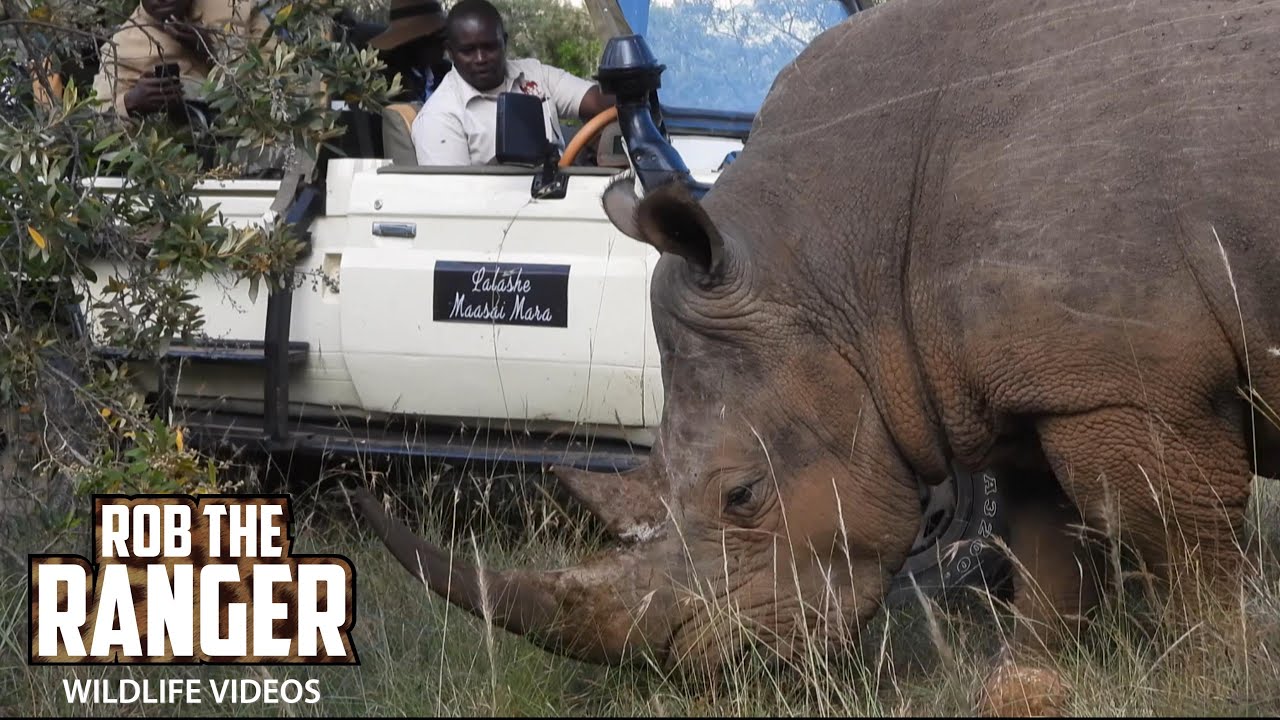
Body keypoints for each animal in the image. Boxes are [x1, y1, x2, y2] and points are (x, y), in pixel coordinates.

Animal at [356, 0, 1280, 684]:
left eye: (742, 496)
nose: (700, 669)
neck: (841, 258)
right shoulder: (1034, 378)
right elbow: (1047, 544)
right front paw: (1026, 678)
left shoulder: (1116, 382)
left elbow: (1174, 542)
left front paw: (1218, 677)